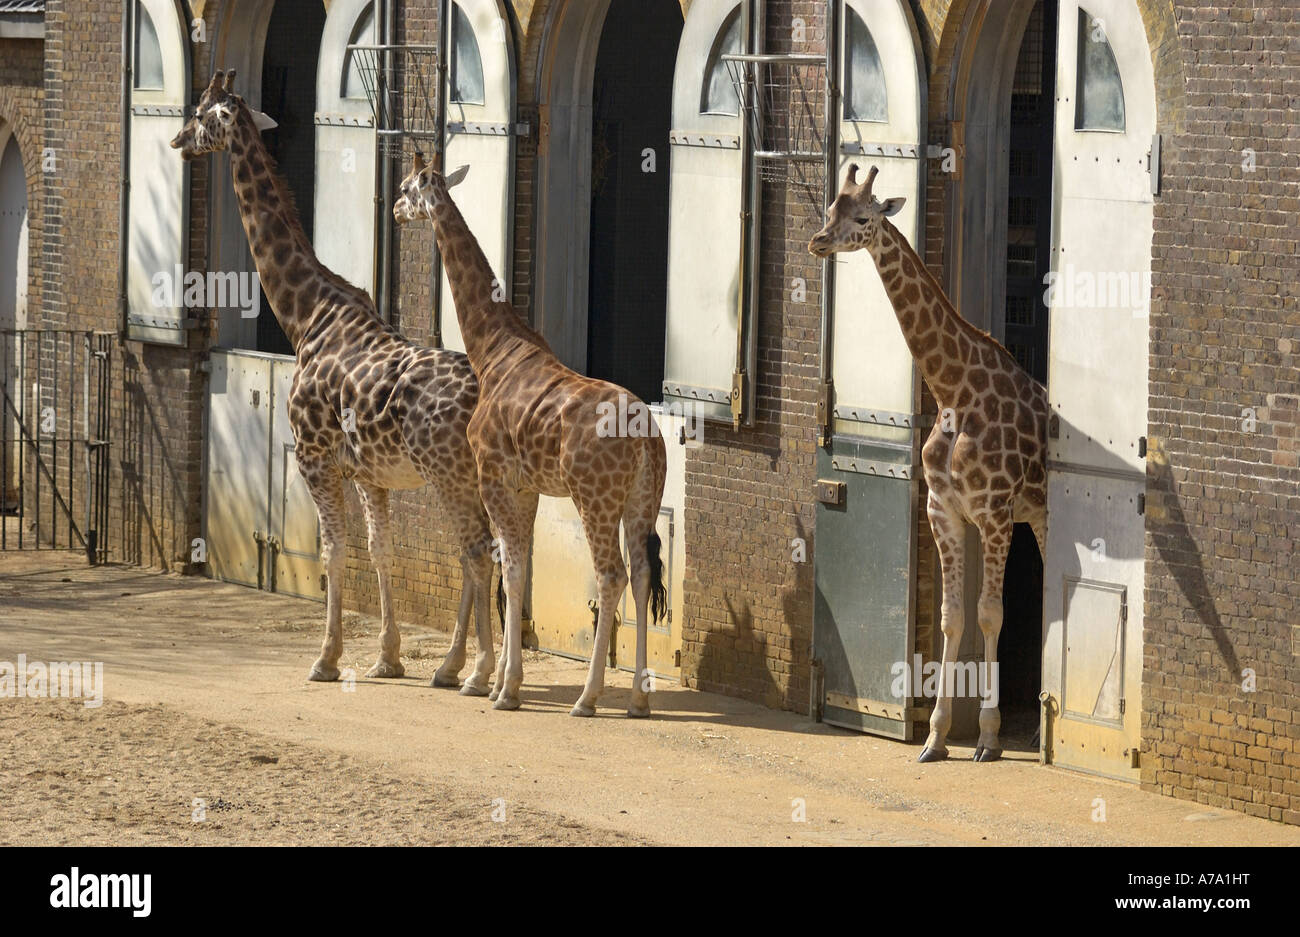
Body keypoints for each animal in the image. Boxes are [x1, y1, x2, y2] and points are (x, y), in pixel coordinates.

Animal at [171, 71, 499, 694]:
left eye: (200, 112)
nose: (177, 140)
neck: (306, 315)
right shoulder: (369, 473)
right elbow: (380, 550)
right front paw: (387, 657)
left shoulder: (313, 456)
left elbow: (333, 551)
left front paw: (326, 658)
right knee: (489, 552)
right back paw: (465, 668)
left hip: (451, 475)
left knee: (477, 552)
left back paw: (467, 671)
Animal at [393, 155, 668, 716]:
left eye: (409, 187)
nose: (392, 209)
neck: (493, 349)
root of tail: (646, 437)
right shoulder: (528, 489)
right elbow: (515, 570)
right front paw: (500, 681)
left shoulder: (495, 478)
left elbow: (513, 570)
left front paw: (503, 688)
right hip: (641, 501)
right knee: (642, 575)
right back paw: (636, 699)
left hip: (594, 497)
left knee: (611, 576)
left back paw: (587, 697)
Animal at [810, 164, 1048, 763]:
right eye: (830, 208)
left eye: (864, 218)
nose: (818, 241)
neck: (954, 391)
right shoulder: (945, 511)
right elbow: (951, 616)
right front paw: (936, 737)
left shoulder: (993, 515)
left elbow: (991, 613)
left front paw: (987, 737)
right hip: (1034, 516)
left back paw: (1036, 732)